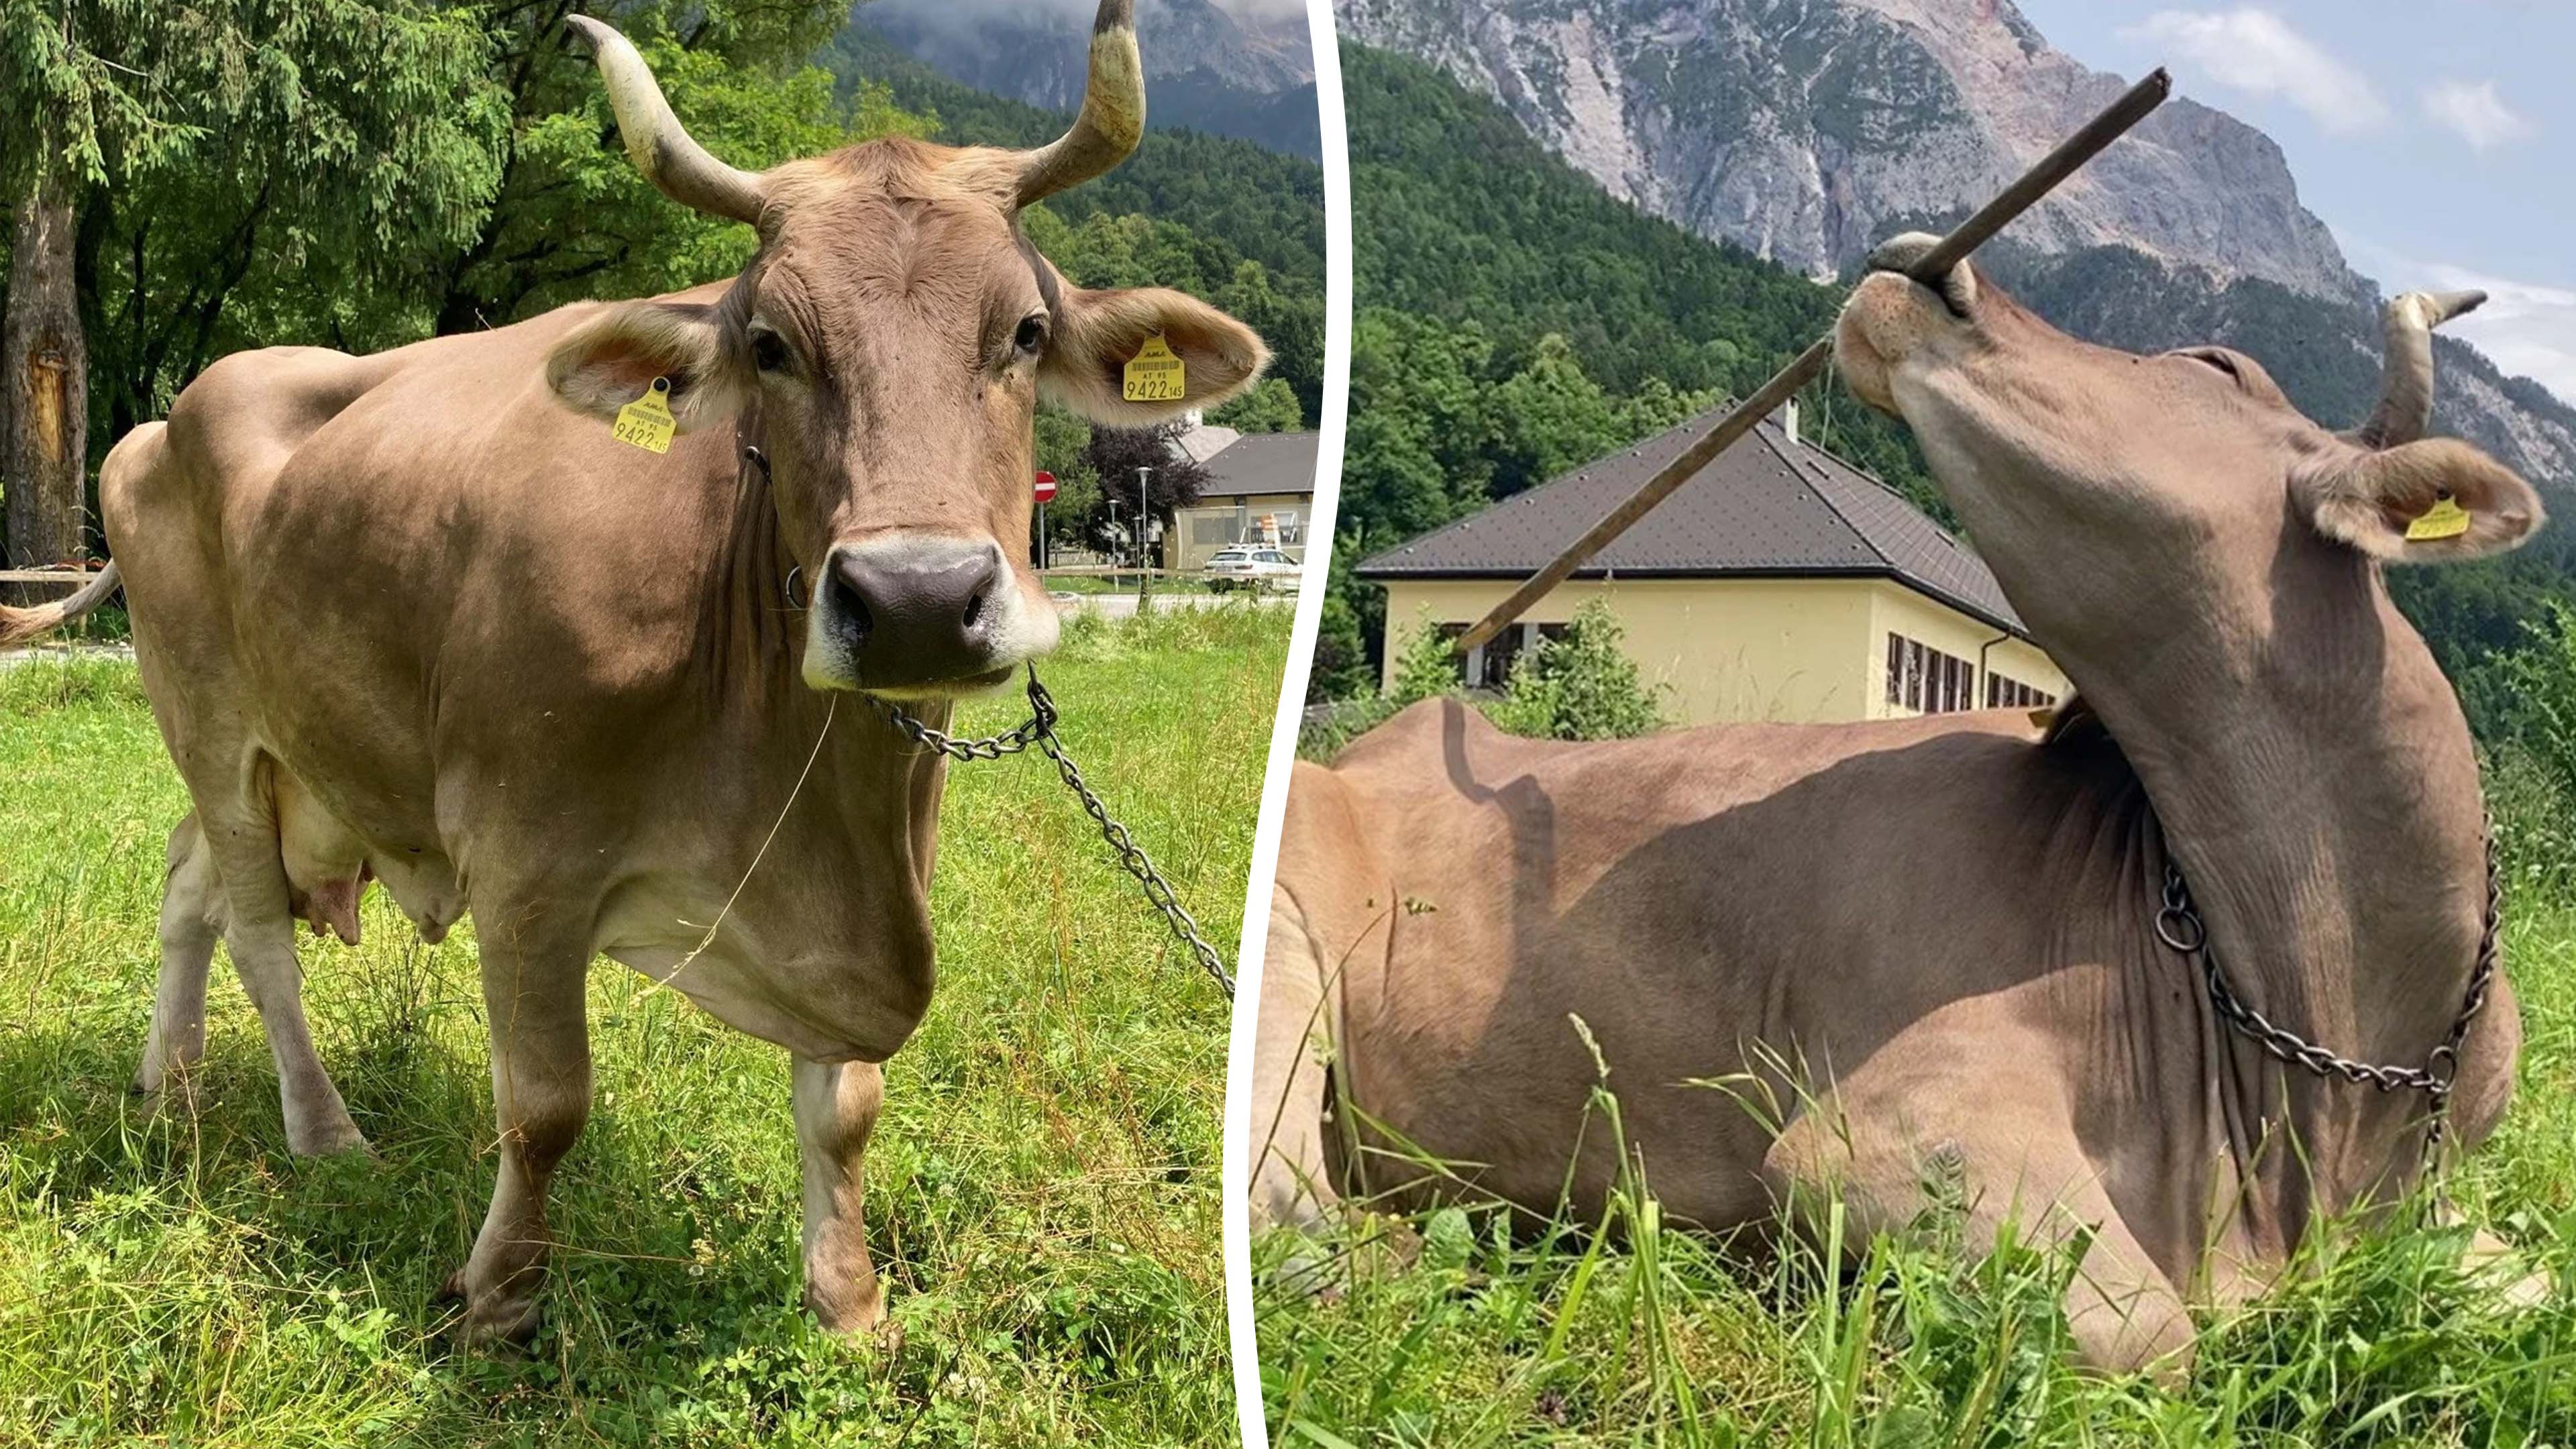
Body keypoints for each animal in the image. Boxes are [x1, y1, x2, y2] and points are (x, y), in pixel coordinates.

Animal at [0, 0, 1265, 1346]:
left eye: (1024, 332)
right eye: (770, 344)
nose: (916, 600)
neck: (799, 775)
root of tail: (162, 419)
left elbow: (845, 1109)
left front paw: (850, 1302)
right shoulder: (524, 862)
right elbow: (546, 1104)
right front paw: (498, 1296)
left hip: (305, 755)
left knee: (185, 884)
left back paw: (169, 1086)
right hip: (211, 722)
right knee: (252, 929)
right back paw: (323, 1131)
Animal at [1249, 233, 2542, 1375]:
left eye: (2217, 364)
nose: (1925, 259)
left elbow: (2527, 1287)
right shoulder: (1886, 1130)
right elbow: (2155, 1340)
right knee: (1285, 1205)